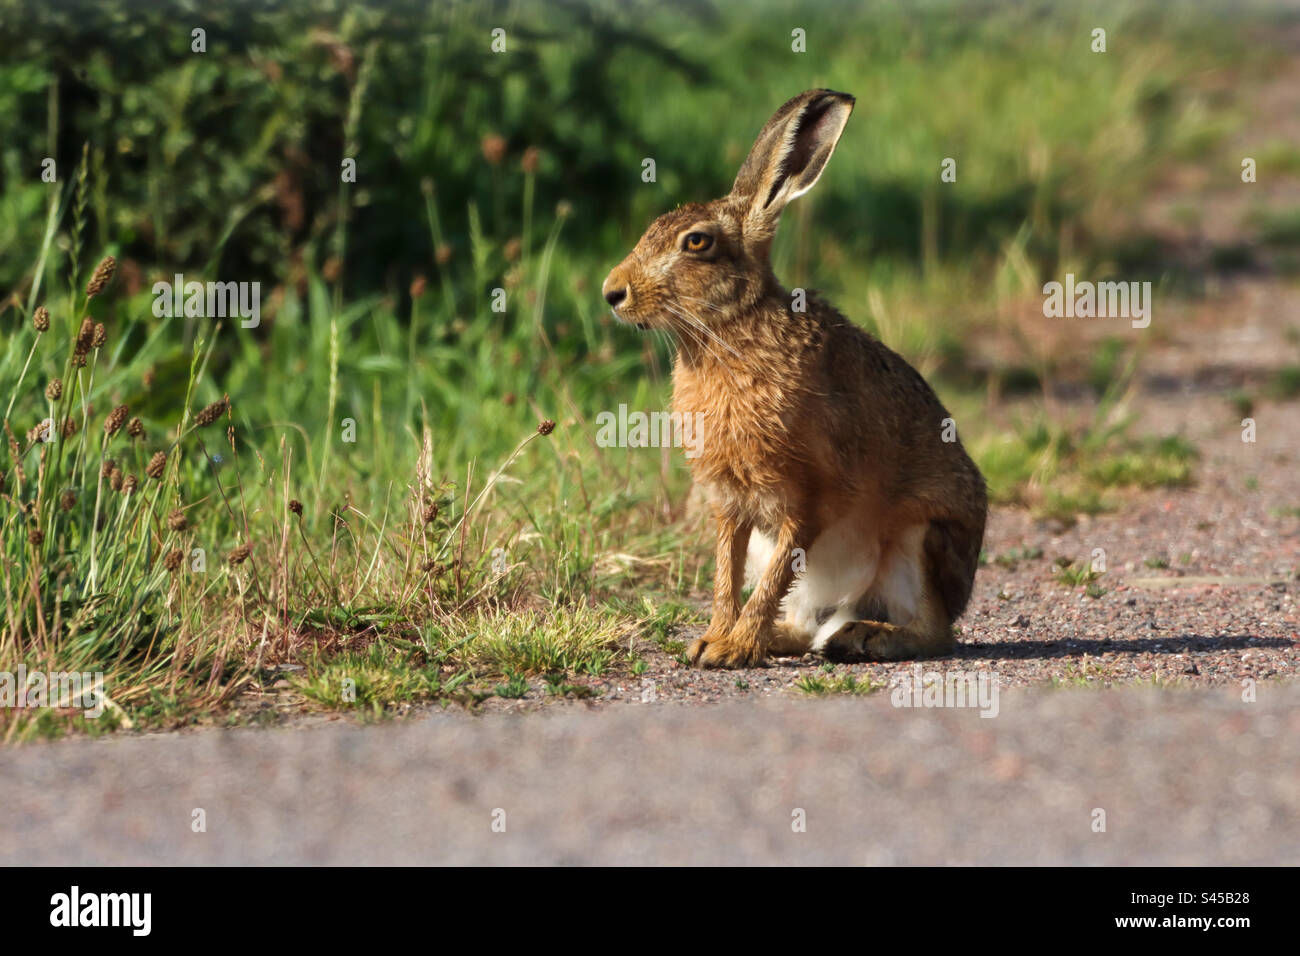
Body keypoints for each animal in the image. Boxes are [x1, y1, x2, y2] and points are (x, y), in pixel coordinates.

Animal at [601, 89, 987, 668]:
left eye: (697, 243)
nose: (612, 292)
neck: (730, 329)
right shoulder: (731, 505)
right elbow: (727, 572)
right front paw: (713, 640)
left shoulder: (808, 497)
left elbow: (774, 571)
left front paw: (733, 649)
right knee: (807, 624)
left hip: (918, 541)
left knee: (935, 632)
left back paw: (863, 637)